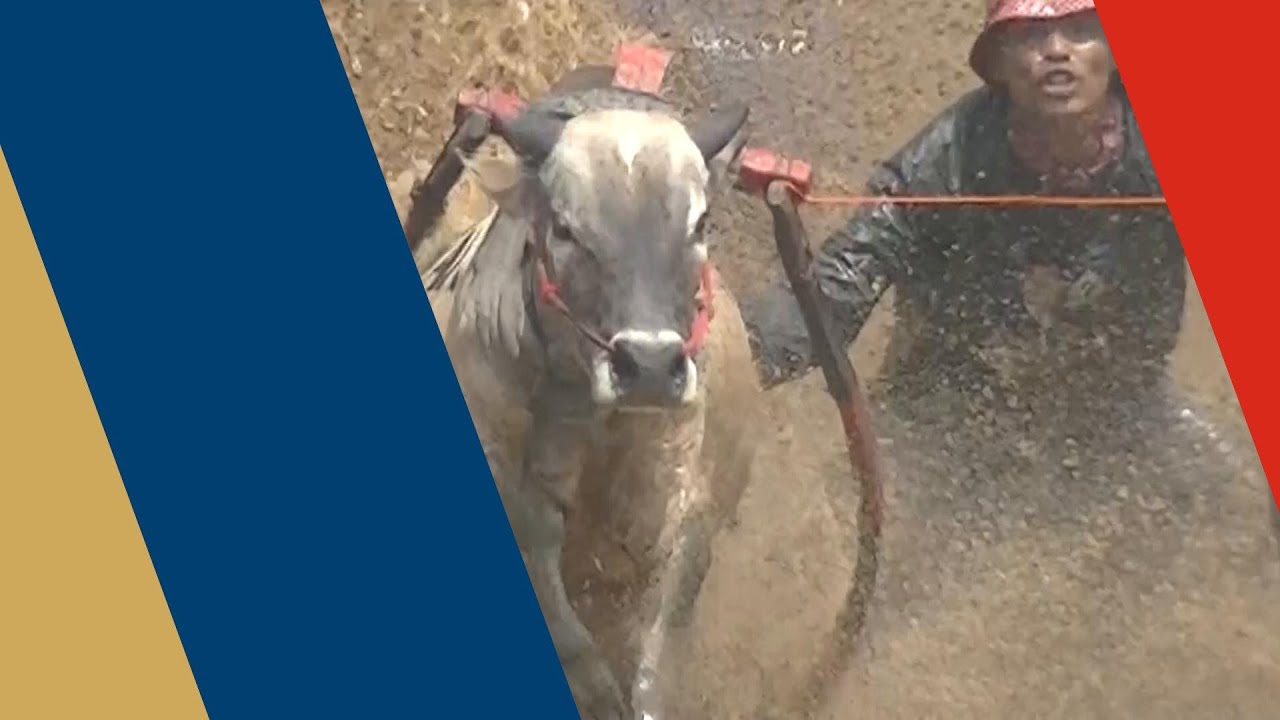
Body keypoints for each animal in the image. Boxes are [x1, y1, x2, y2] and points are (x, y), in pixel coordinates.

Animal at [421, 69, 762, 719]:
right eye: (564, 227)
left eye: (700, 223)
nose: (649, 366)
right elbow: (570, 640)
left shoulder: (682, 501)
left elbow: (657, 663)